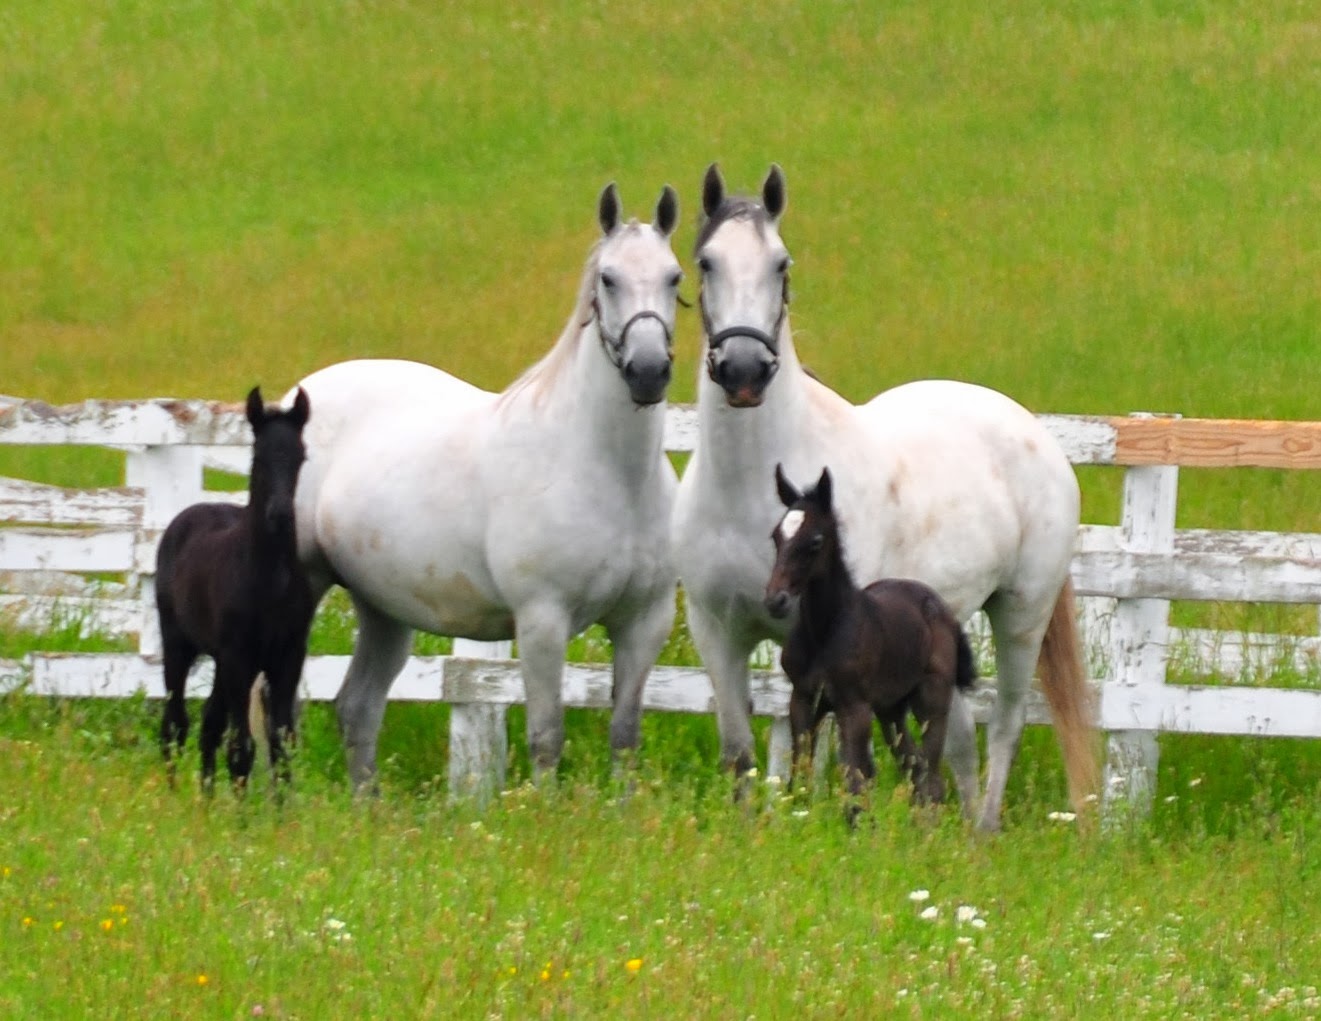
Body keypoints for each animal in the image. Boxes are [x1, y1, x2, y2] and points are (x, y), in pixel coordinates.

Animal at [156, 386, 316, 790]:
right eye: (258, 455)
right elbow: (242, 749)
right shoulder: (239, 656)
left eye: (301, 456)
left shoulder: (287, 657)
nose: (281, 515)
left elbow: (281, 746)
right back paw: (171, 792)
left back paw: (207, 797)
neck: (271, 579)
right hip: (179, 644)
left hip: (220, 660)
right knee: (174, 724)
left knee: (208, 725)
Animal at [285, 183, 683, 790]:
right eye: (608, 278)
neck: (608, 473)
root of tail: (295, 397)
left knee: (357, 708)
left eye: (675, 277)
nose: (648, 370)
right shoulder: (542, 620)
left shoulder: (644, 622)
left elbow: (624, 740)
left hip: (383, 608)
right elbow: (547, 738)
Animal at [766, 464, 976, 811]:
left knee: (932, 779)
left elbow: (856, 782)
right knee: (915, 769)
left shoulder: (854, 707)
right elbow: (801, 776)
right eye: (775, 536)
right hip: (891, 709)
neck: (824, 631)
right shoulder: (804, 699)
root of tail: (941, 608)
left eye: (815, 540)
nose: (775, 600)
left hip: (931, 699)